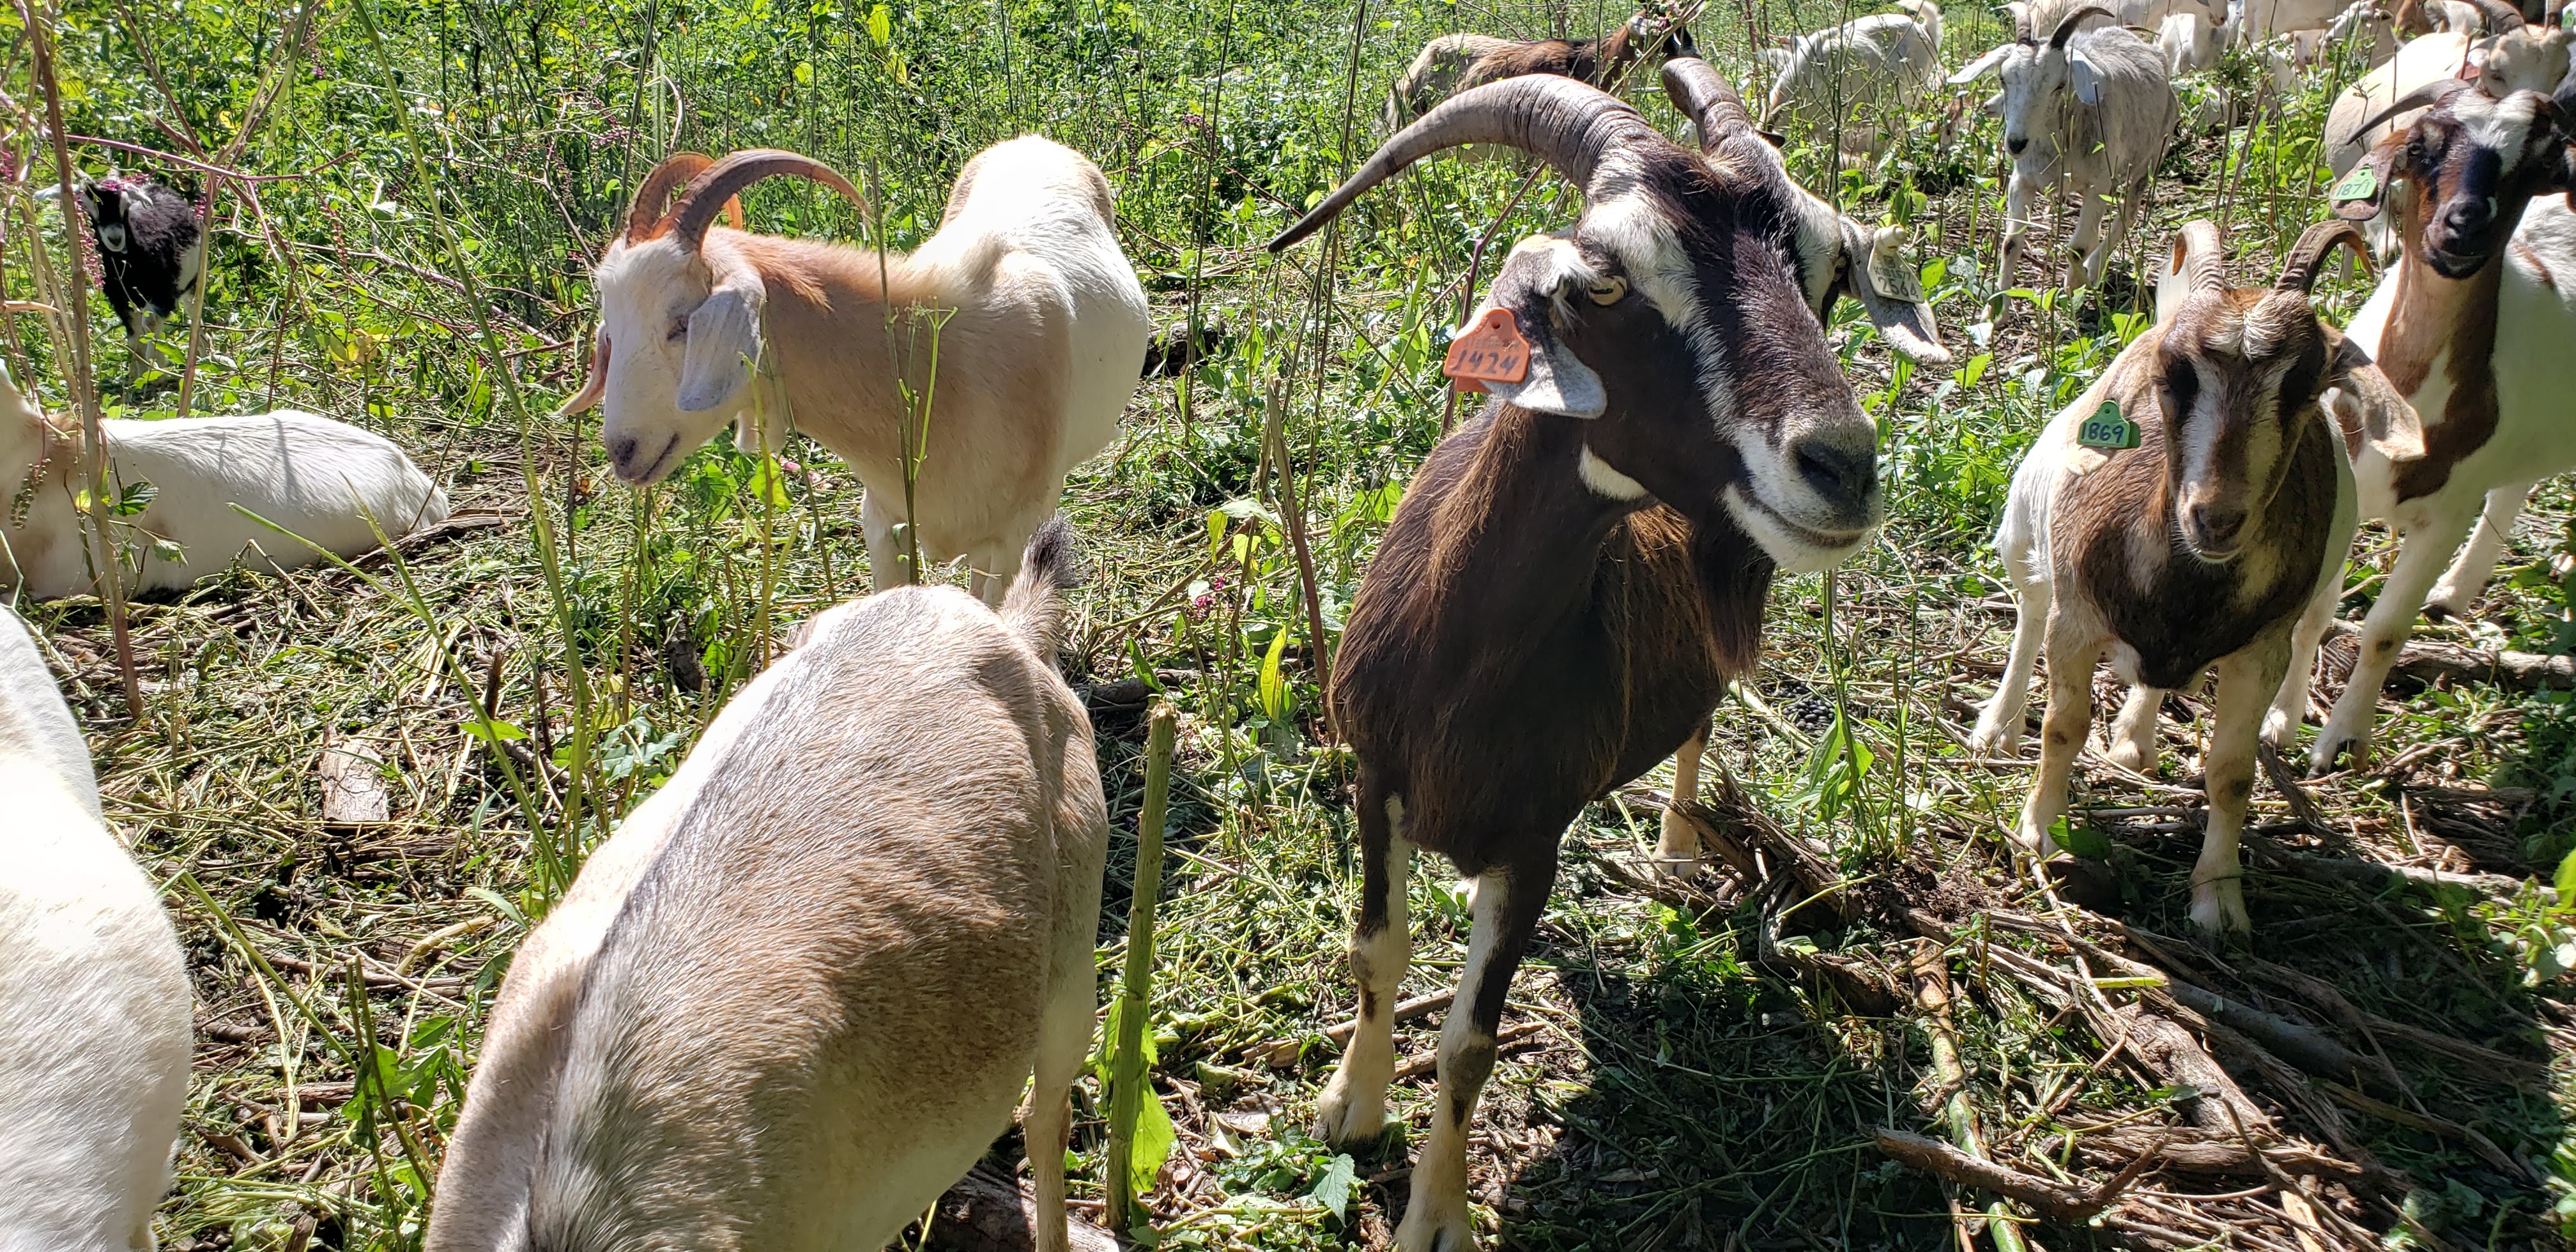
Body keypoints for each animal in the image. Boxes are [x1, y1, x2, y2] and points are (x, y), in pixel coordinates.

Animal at [561, 142, 1149, 606]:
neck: (933, 366)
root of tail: (1034, 142)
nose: (622, 451)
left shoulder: (1013, 537)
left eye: (682, 323)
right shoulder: (881, 517)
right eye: (612, 329)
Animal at [1267, 73, 1884, 1251]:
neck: (1458, 675)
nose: (1842, 465)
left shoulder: (1534, 842)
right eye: (1604, 280)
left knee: (1701, 719)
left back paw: (1679, 849)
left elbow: (1469, 1040)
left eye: (1827, 267)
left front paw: (1436, 1215)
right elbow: (1376, 951)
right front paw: (1348, 1106)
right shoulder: (1375, 775)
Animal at [1953, 7, 2181, 288]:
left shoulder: (2098, 186)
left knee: (2126, 216)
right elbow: (2011, 244)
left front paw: (2072, 291)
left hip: (2146, 164)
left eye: (2060, 85)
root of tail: (2159, 55)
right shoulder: (2022, 180)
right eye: (2002, 78)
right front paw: (1997, 302)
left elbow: (2077, 249)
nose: (2016, 144)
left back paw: (2093, 269)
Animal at [1971, 221, 2421, 933]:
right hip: (2026, 531)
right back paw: (1996, 729)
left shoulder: (2259, 653)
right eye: (2172, 374)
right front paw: (2038, 832)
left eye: (2306, 384)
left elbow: (2232, 773)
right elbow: (2062, 728)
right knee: (2030, 609)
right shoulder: (2078, 623)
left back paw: (2135, 741)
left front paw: (2220, 900)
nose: (2215, 517)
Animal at [2268, 78, 2576, 772]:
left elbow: (2384, 631)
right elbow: (2312, 614)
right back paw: (2456, 592)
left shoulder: (2448, 514)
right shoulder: (2344, 491)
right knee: (2518, 483)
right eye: (2421, 147)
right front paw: (2280, 722)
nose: (2462, 227)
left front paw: (2343, 741)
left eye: (2531, 164)